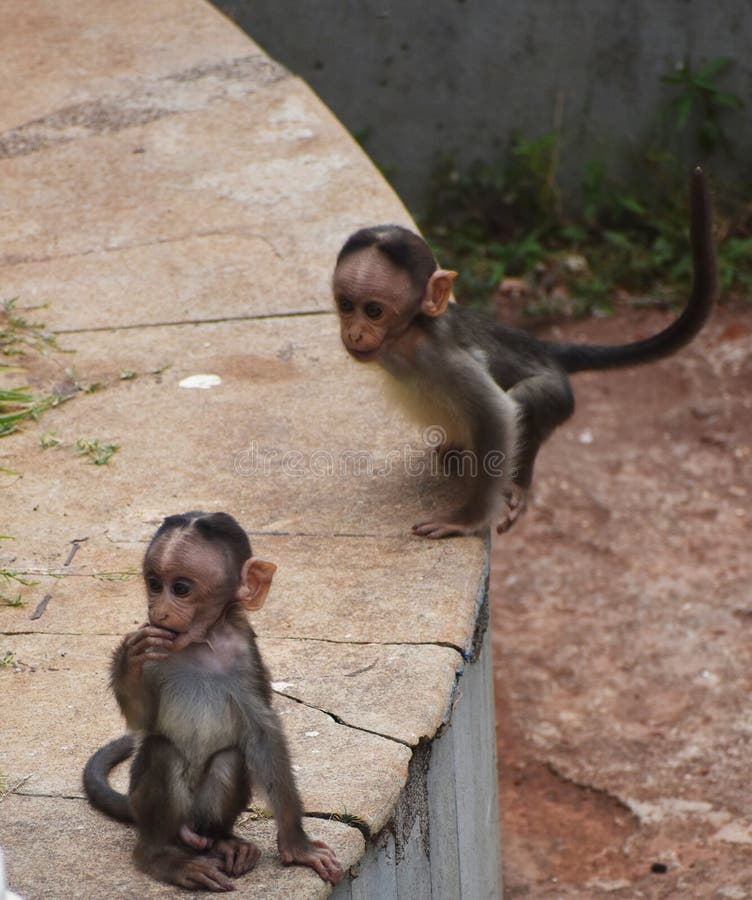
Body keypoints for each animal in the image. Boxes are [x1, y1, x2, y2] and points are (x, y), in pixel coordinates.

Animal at [83, 511, 343, 891]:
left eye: (181, 588)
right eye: (154, 583)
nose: (157, 610)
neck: (200, 645)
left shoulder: (245, 656)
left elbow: (263, 734)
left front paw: (297, 845)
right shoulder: (157, 654)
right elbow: (142, 721)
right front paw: (128, 659)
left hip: (200, 814)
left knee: (230, 759)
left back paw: (221, 841)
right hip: (148, 805)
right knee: (161, 750)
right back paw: (160, 857)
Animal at [332, 168, 716, 539]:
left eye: (374, 311)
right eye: (346, 305)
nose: (354, 332)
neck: (407, 335)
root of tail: (544, 349)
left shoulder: (436, 354)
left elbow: (498, 413)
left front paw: (466, 520)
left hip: (557, 393)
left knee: (526, 397)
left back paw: (518, 484)